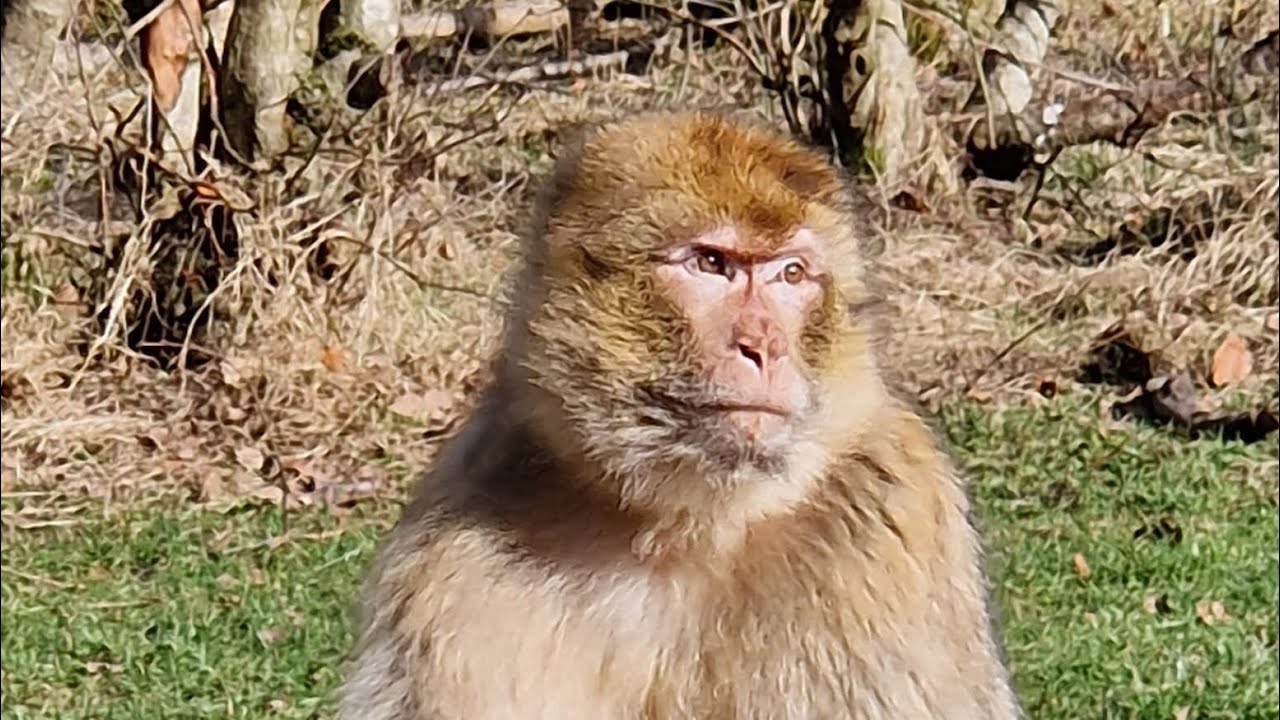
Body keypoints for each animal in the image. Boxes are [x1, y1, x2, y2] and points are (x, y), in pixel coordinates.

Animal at [340, 110, 1023, 720]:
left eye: (791, 274)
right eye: (712, 264)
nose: (763, 344)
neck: (689, 525)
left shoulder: (892, 520)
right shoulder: (458, 545)